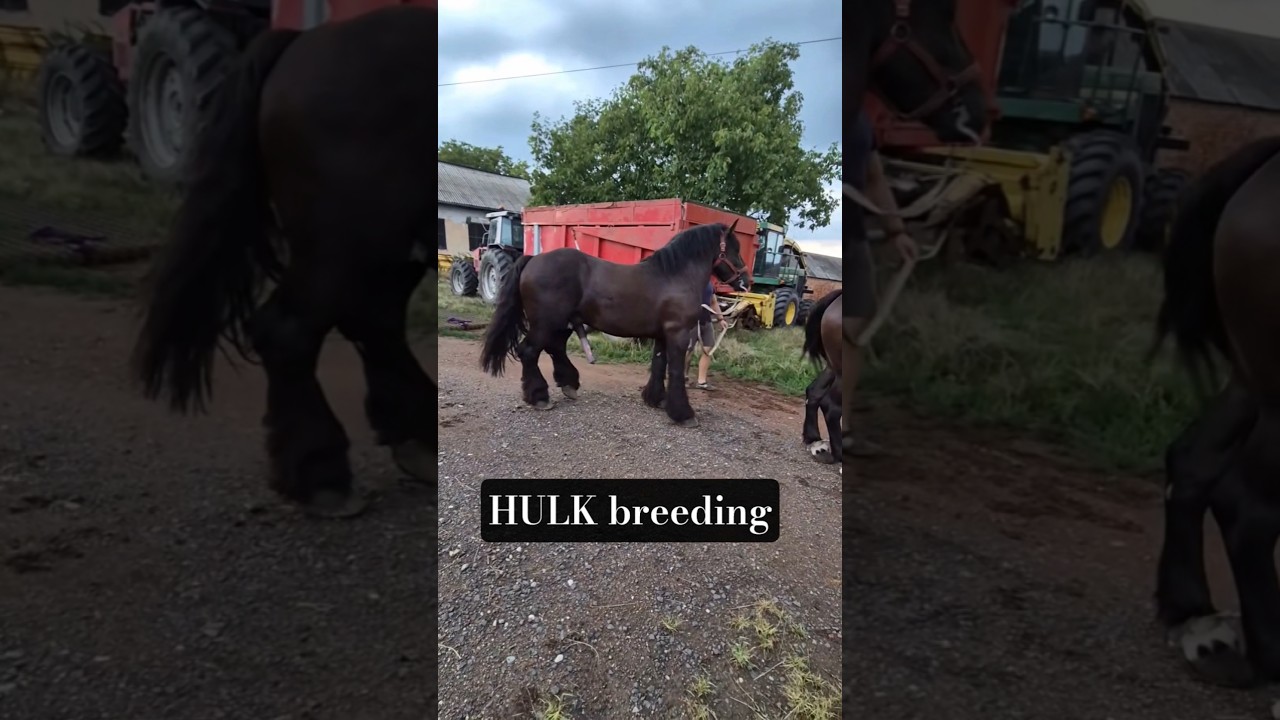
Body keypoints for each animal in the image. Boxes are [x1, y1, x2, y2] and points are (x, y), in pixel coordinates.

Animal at [130, 6, 436, 519]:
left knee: (373, 321)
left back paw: (416, 435)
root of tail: (301, 41)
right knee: (289, 330)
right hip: (347, 240)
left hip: (381, 245)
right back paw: (320, 470)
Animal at [479, 222, 748, 428]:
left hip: (562, 324)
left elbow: (658, 364)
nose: (745, 282)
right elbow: (673, 370)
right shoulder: (678, 334)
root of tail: (533, 259)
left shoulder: (662, 335)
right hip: (546, 323)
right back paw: (539, 396)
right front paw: (683, 414)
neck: (673, 276)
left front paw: (656, 399)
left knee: (555, 348)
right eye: (733, 249)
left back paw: (568, 384)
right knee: (529, 352)